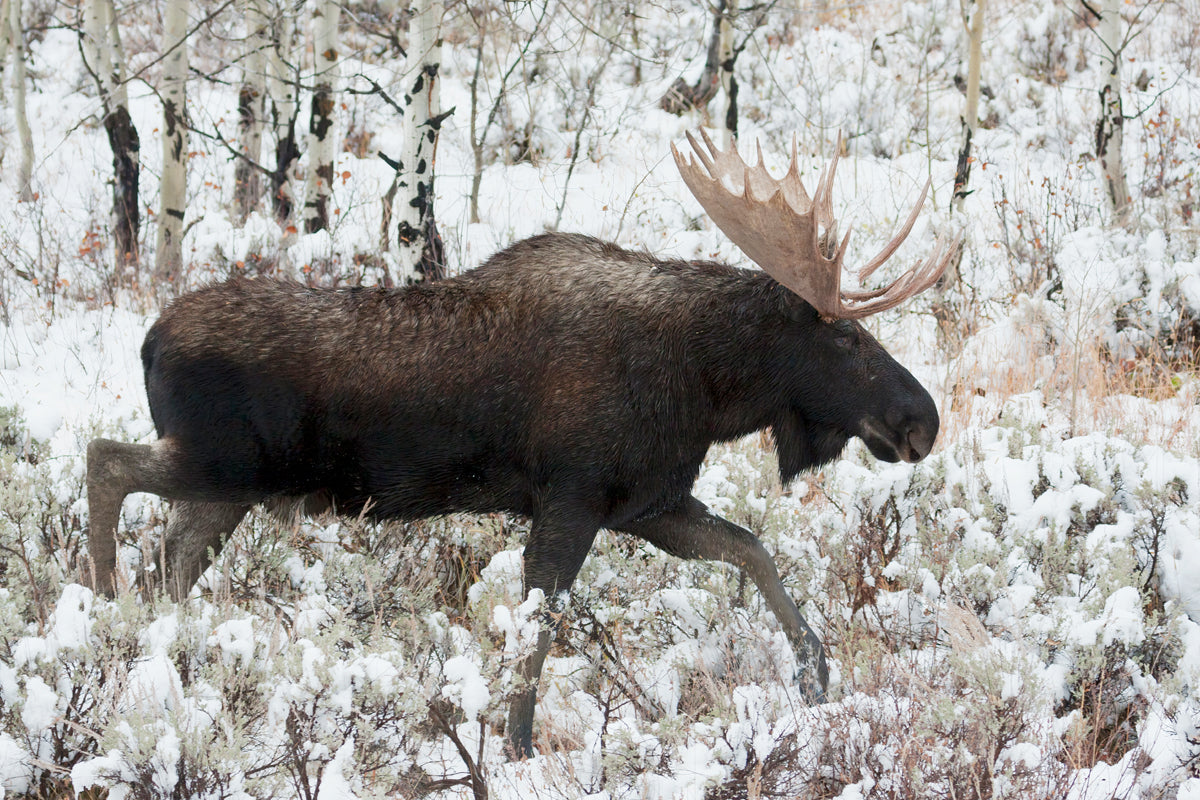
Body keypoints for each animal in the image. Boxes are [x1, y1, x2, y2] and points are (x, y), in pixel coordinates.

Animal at [86, 130, 956, 758]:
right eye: (845, 337)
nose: (923, 420)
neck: (706, 388)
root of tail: (148, 341)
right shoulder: (573, 498)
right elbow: (536, 628)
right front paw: (515, 746)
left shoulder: (650, 503)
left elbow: (751, 550)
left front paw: (815, 672)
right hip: (219, 461)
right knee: (106, 462)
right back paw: (100, 607)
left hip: (225, 489)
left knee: (170, 562)